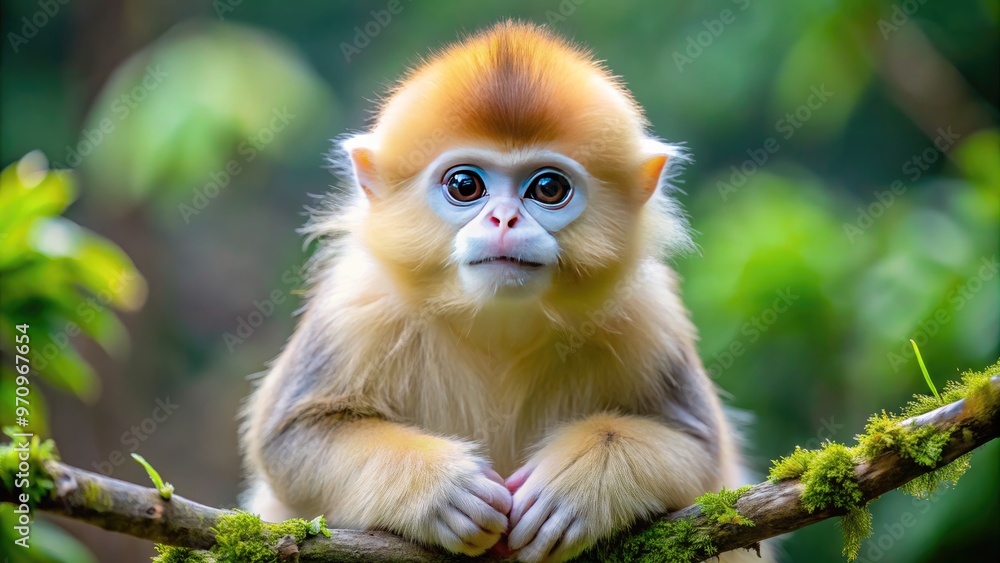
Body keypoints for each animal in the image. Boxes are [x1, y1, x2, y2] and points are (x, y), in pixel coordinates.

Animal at [241, 21, 766, 562]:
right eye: (465, 185)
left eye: (549, 188)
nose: (504, 220)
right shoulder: (356, 307)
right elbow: (289, 439)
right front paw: (440, 489)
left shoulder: (649, 315)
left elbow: (702, 454)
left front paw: (576, 487)